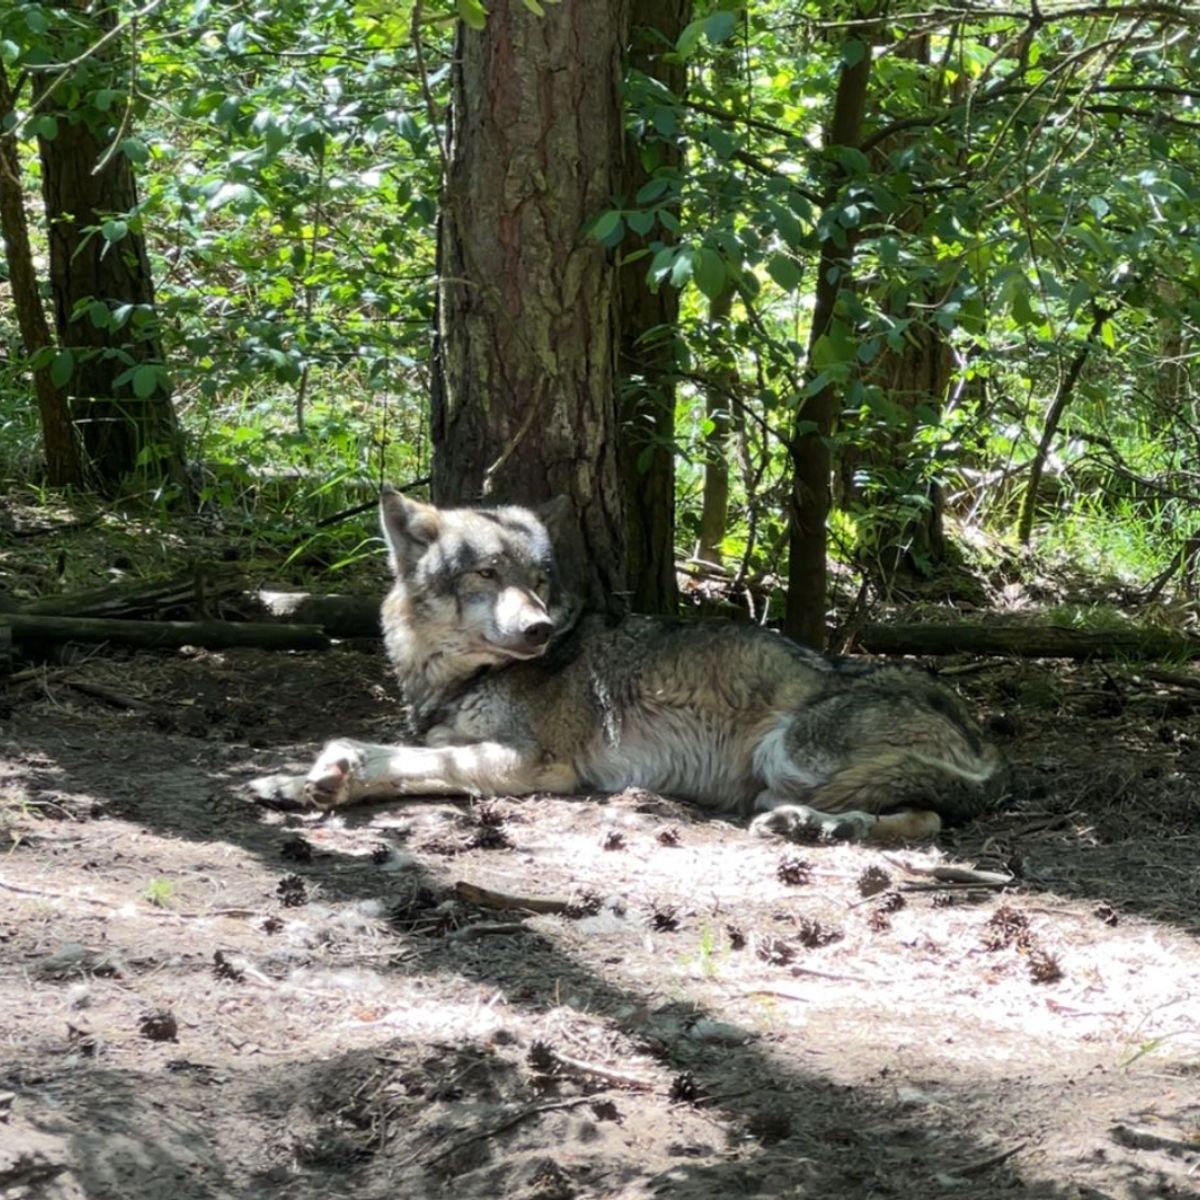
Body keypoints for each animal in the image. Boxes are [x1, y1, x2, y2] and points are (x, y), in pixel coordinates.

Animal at [252, 489, 1004, 842]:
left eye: (540, 579)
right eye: (488, 574)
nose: (539, 628)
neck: (458, 676)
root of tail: (989, 746)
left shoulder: (535, 764)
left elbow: (392, 757)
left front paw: (335, 779)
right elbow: (381, 749)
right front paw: (295, 781)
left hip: (788, 751)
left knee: (922, 821)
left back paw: (812, 826)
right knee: (923, 820)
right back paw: (811, 826)